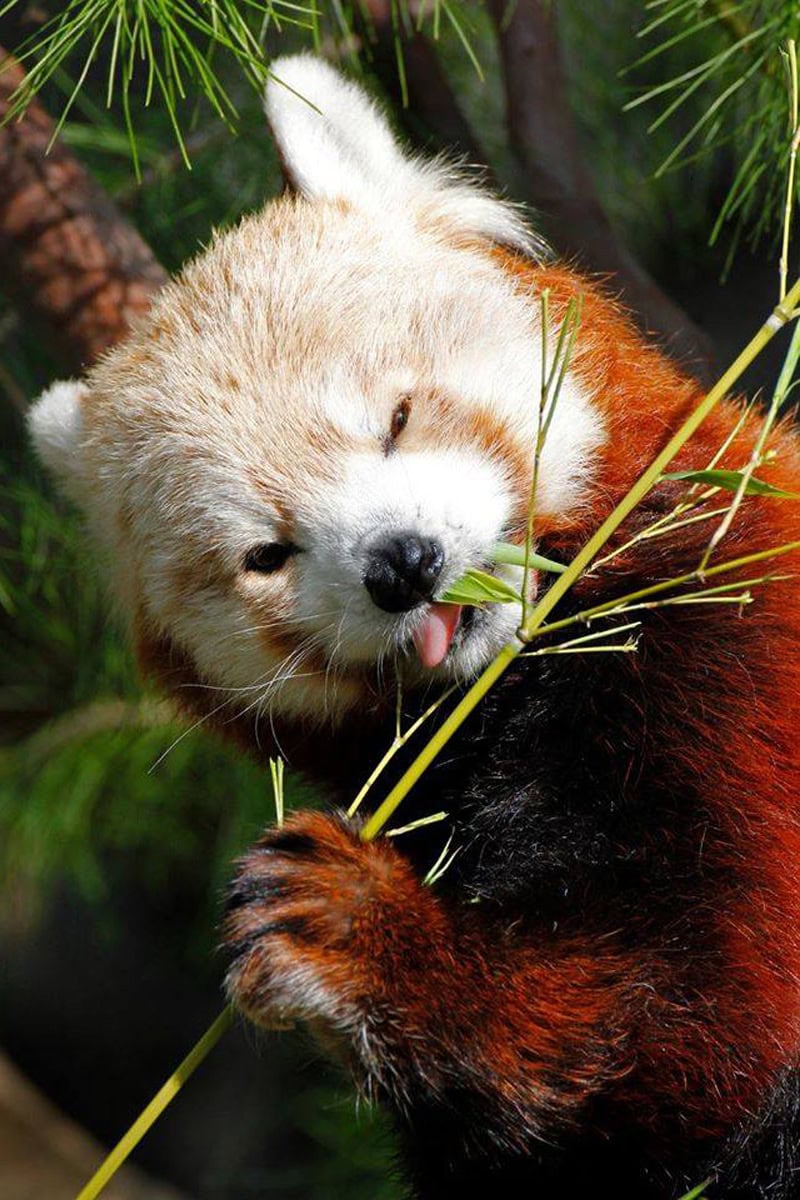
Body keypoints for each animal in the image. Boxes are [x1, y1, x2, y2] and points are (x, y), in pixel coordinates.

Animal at [29, 54, 800, 1200]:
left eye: (393, 419)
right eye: (267, 552)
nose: (400, 564)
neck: (526, 680)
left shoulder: (739, 665)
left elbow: (713, 1017)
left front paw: (360, 933)